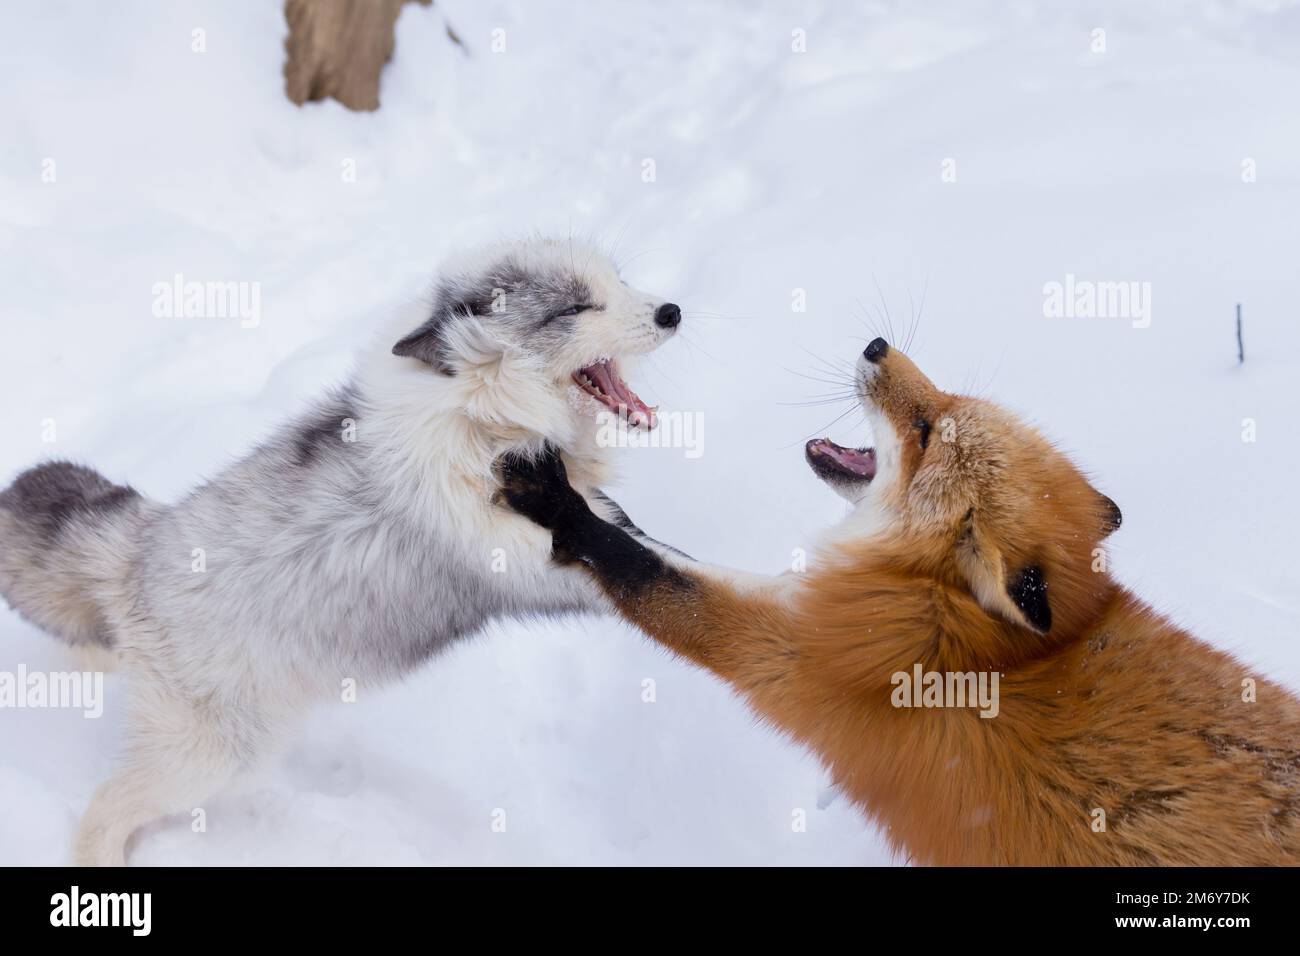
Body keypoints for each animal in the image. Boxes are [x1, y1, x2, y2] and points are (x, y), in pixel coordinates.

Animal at [498, 336, 1300, 866]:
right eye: (944, 404)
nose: (878, 345)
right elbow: (650, 541)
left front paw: (556, 499)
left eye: (925, 430)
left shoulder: (784, 649)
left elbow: (648, 570)